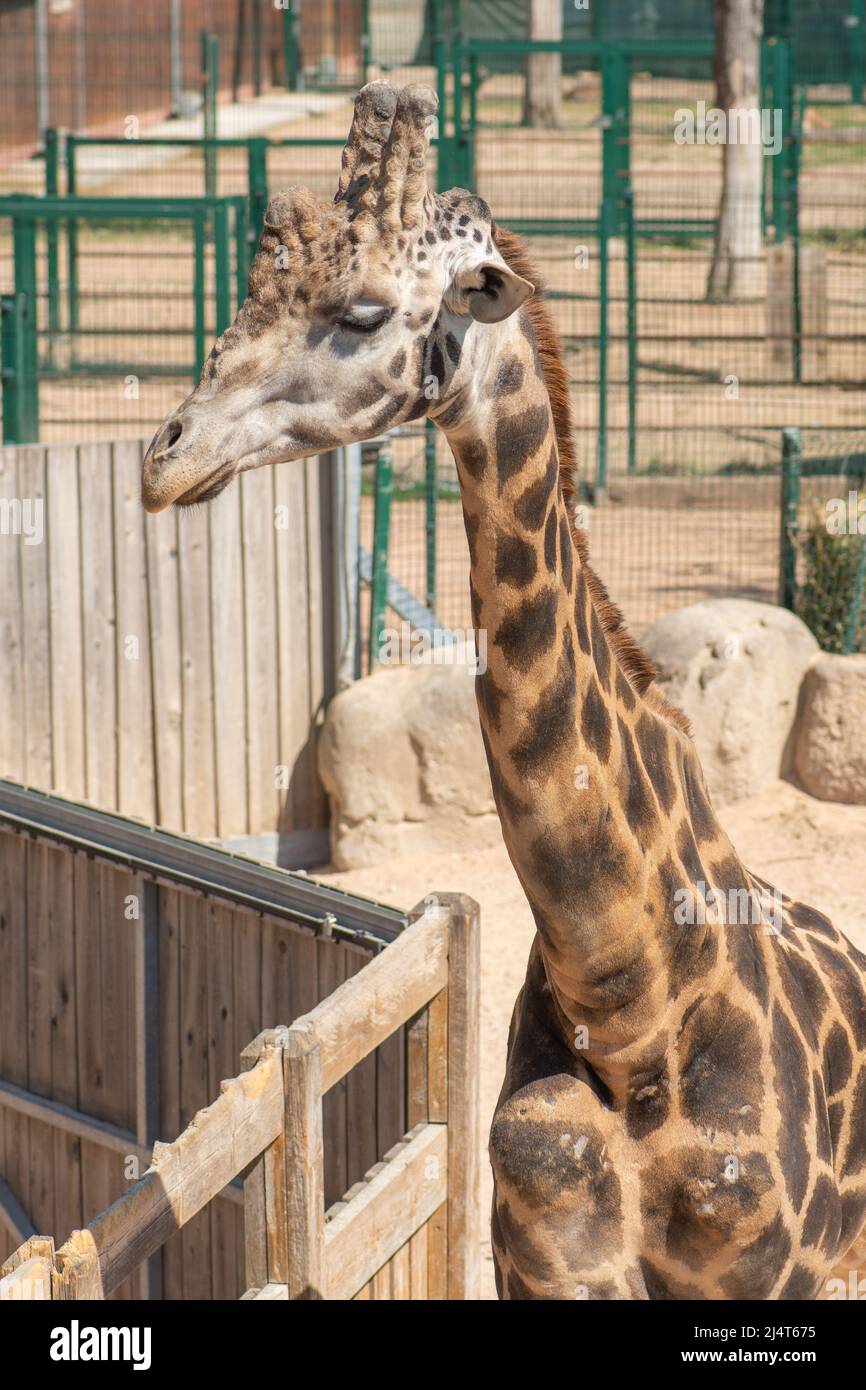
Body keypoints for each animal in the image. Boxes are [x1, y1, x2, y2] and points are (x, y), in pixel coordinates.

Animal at [141, 82, 866, 1300]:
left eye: (363, 311)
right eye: (250, 291)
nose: (163, 456)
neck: (631, 1003)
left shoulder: (764, 1280)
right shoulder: (542, 1265)